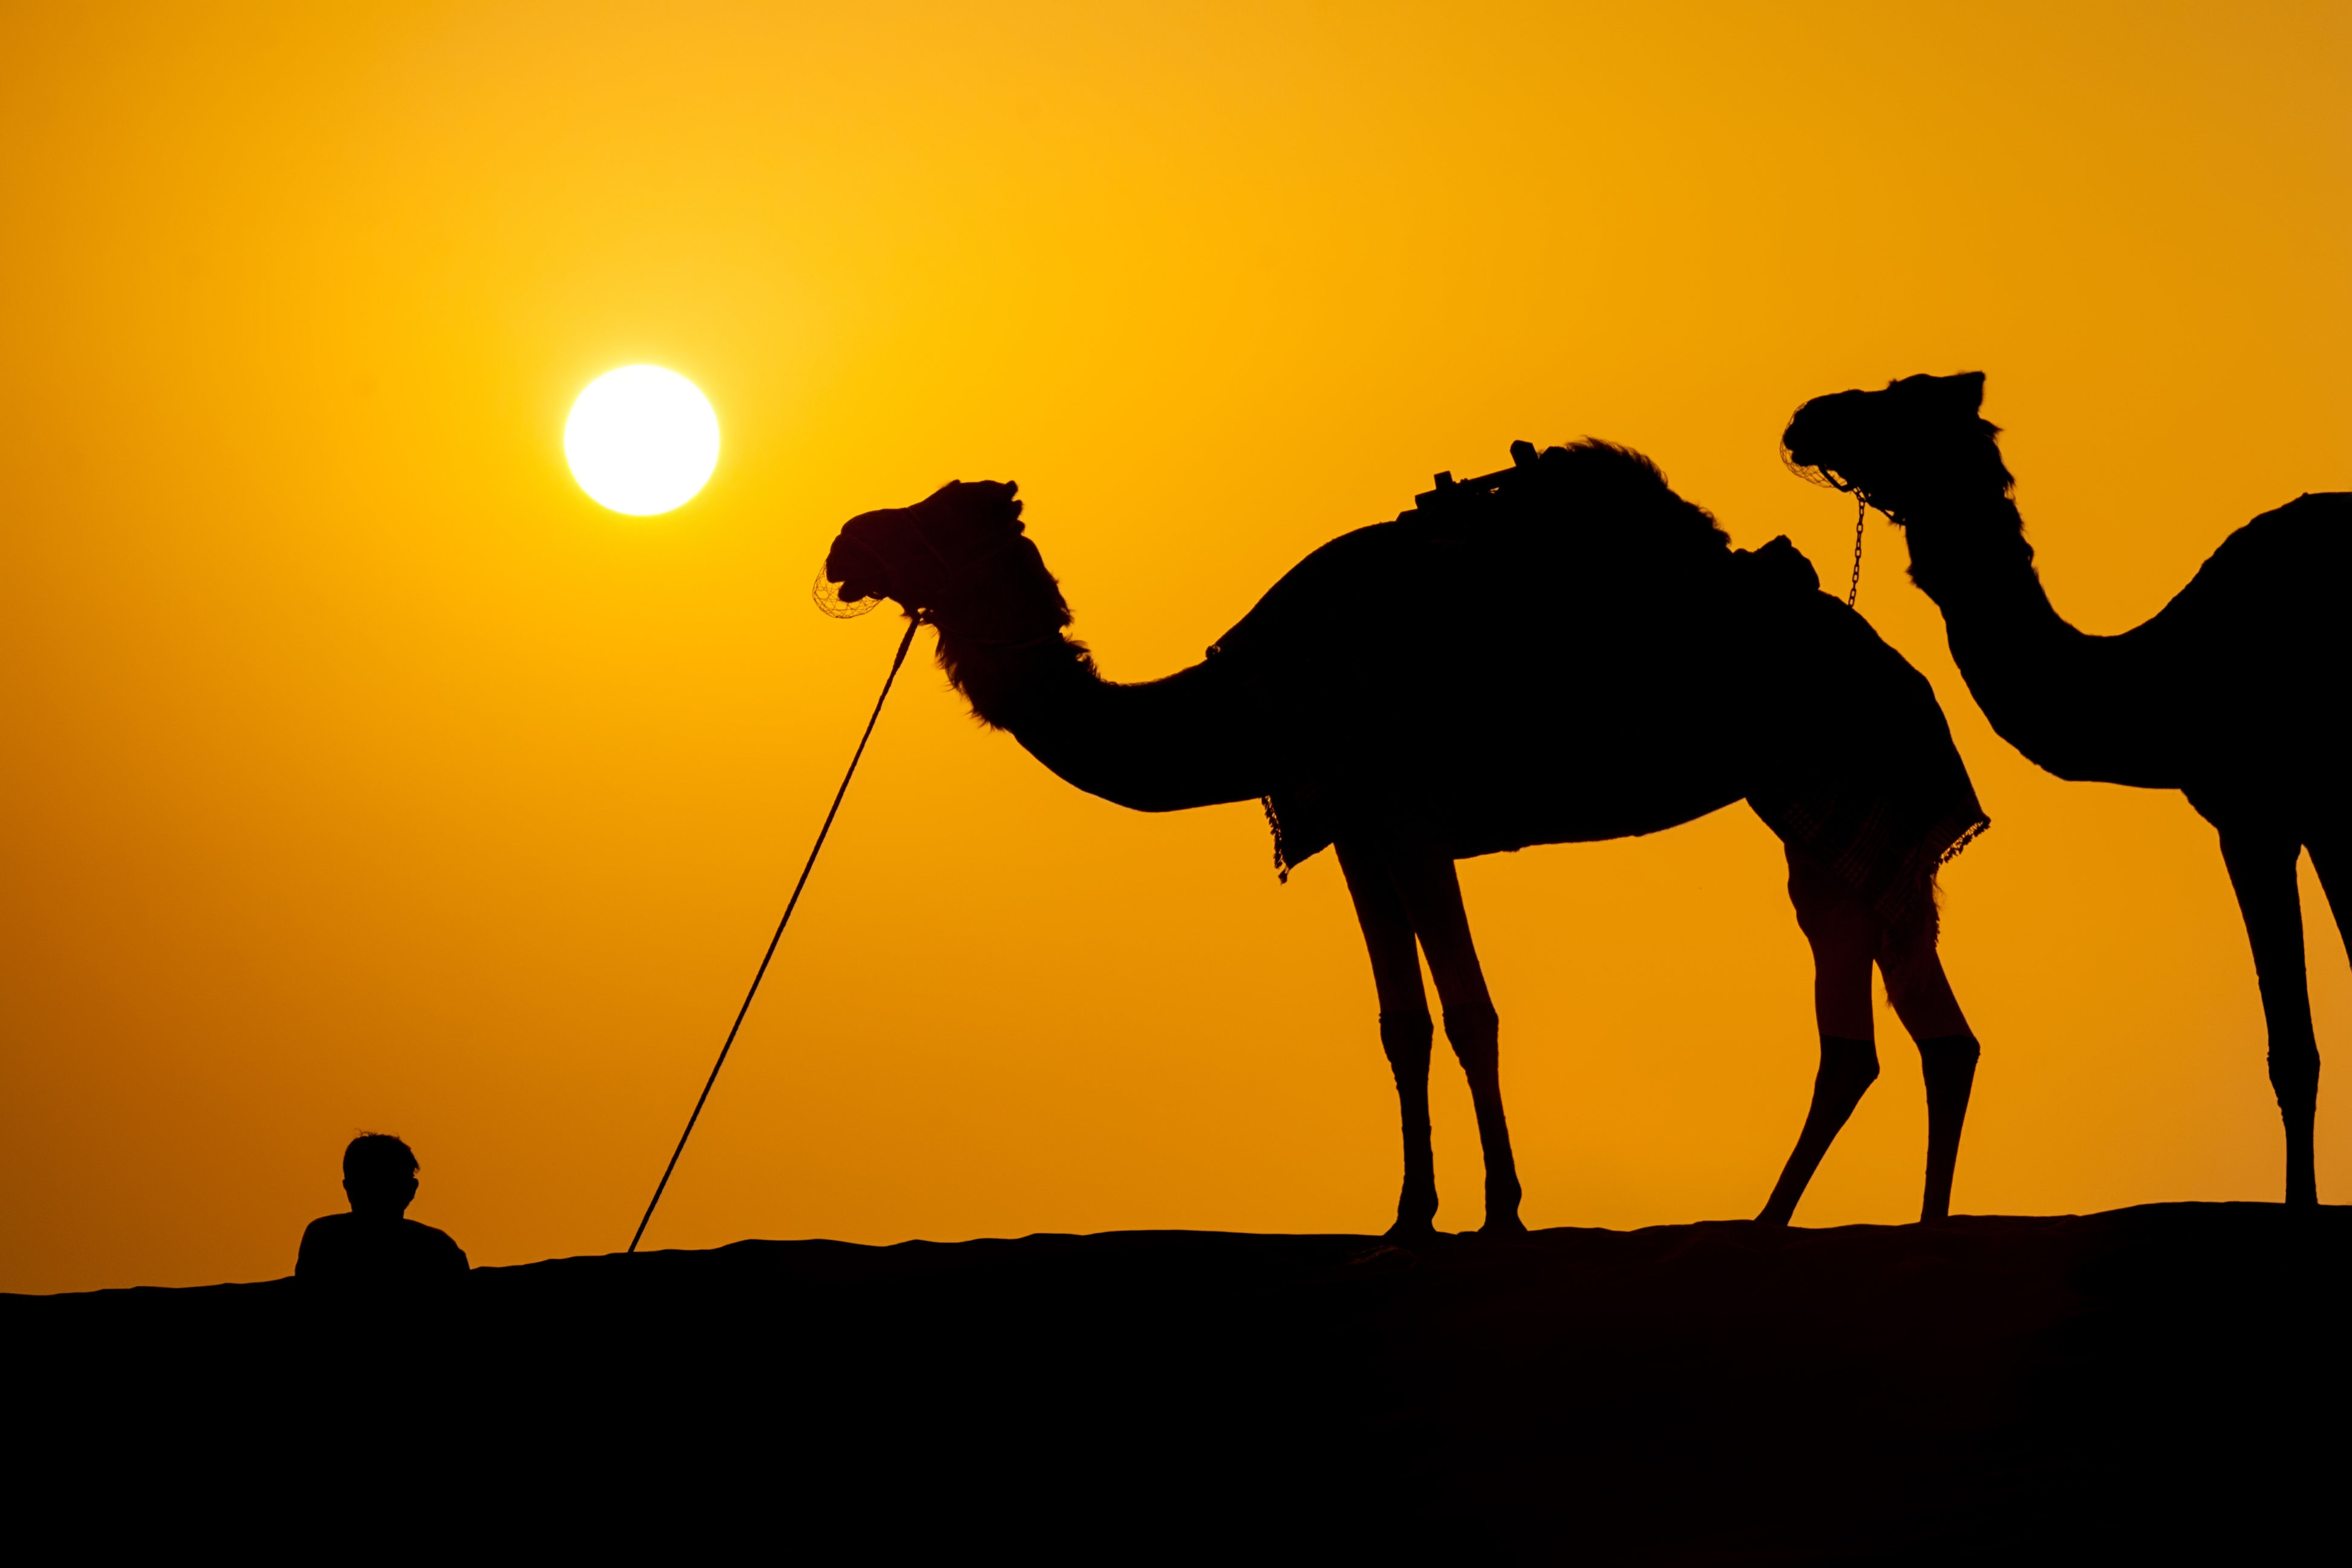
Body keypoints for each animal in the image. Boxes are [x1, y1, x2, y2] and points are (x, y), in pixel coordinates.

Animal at [822, 440, 1991, 1233]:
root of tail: (1895, 663)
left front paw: (1503, 1209)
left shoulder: (1407, 810)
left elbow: (1471, 1011)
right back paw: (1896, 1222)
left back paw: (1776, 1218)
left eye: (942, 518)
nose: (843, 543)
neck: (1256, 701)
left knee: (1862, 992)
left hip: (1827, 776)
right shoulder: (1353, 829)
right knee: (1922, 1018)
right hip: (1832, 802)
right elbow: (1401, 1023)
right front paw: (1409, 1214)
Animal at [1783, 372, 2350, 1204]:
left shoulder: (2267, 814)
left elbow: (2299, 1042)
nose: (1807, 418)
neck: (2173, 675)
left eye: (1899, 404)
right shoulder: (2291, 818)